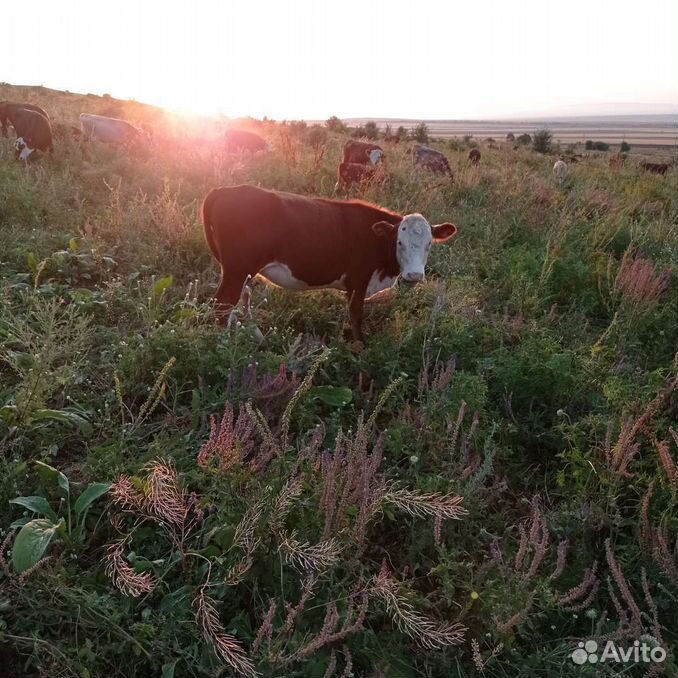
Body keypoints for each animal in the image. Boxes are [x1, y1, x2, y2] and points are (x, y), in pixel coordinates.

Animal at [199, 185, 460, 342]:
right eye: (399, 242)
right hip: (236, 269)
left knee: (240, 298)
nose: (414, 275)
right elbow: (356, 315)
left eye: (429, 244)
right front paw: (359, 347)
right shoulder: (358, 280)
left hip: (240, 271)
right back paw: (224, 344)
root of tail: (225, 189)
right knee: (223, 305)